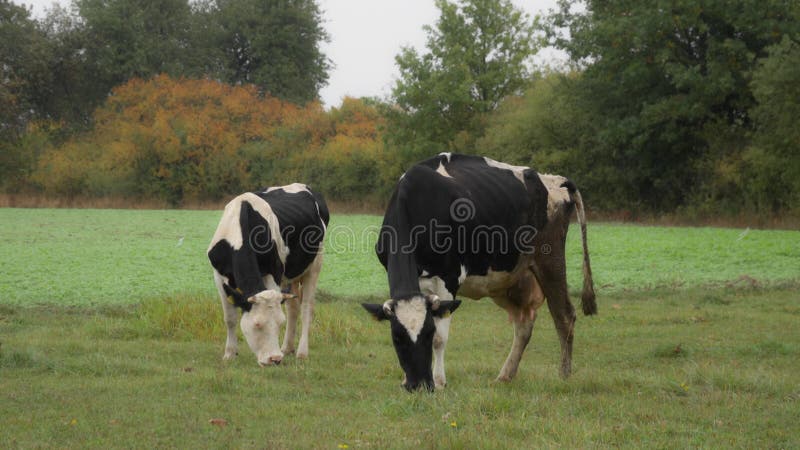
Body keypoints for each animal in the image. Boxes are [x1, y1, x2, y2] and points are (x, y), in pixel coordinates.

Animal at [207, 183, 329, 367]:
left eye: (280, 323)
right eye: (257, 324)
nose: (275, 359)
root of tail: (303, 186)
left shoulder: (274, 273)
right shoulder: (219, 276)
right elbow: (229, 318)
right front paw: (229, 354)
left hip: (315, 265)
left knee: (307, 308)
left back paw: (301, 352)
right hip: (291, 276)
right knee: (293, 307)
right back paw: (287, 348)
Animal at [362, 153, 596, 391]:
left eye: (428, 333)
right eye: (396, 338)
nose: (418, 385)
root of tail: (555, 180)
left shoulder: (449, 278)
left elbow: (441, 338)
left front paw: (439, 382)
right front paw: (406, 379)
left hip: (550, 260)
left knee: (564, 315)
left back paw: (564, 376)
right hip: (508, 280)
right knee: (523, 323)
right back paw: (505, 375)